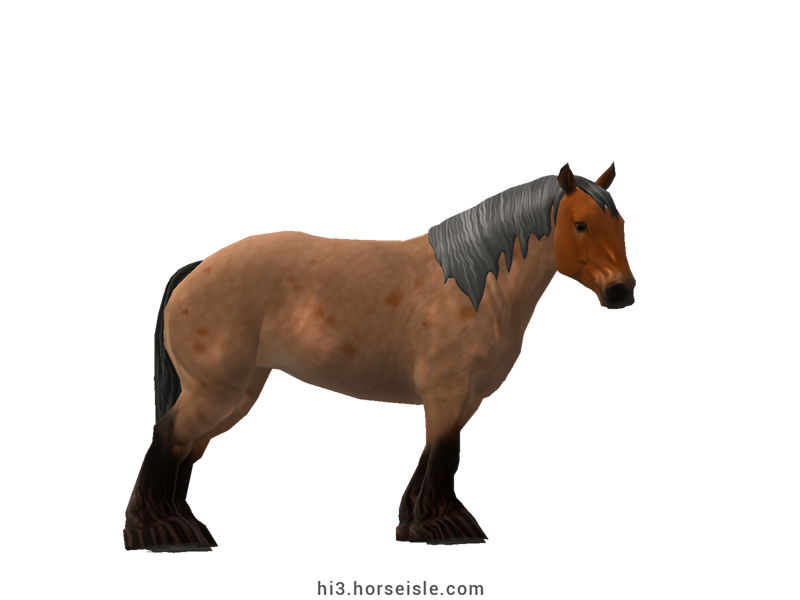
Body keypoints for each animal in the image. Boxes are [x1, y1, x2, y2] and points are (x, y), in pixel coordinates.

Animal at [127, 163, 635, 546]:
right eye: (581, 223)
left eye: (617, 220)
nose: (620, 290)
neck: (478, 286)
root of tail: (196, 269)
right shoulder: (447, 390)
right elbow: (445, 456)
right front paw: (444, 523)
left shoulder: (459, 396)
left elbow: (432, 454)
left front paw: (416, 519)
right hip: (214, 391)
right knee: (168, 438)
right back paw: (163, 528)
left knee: (180, 446)